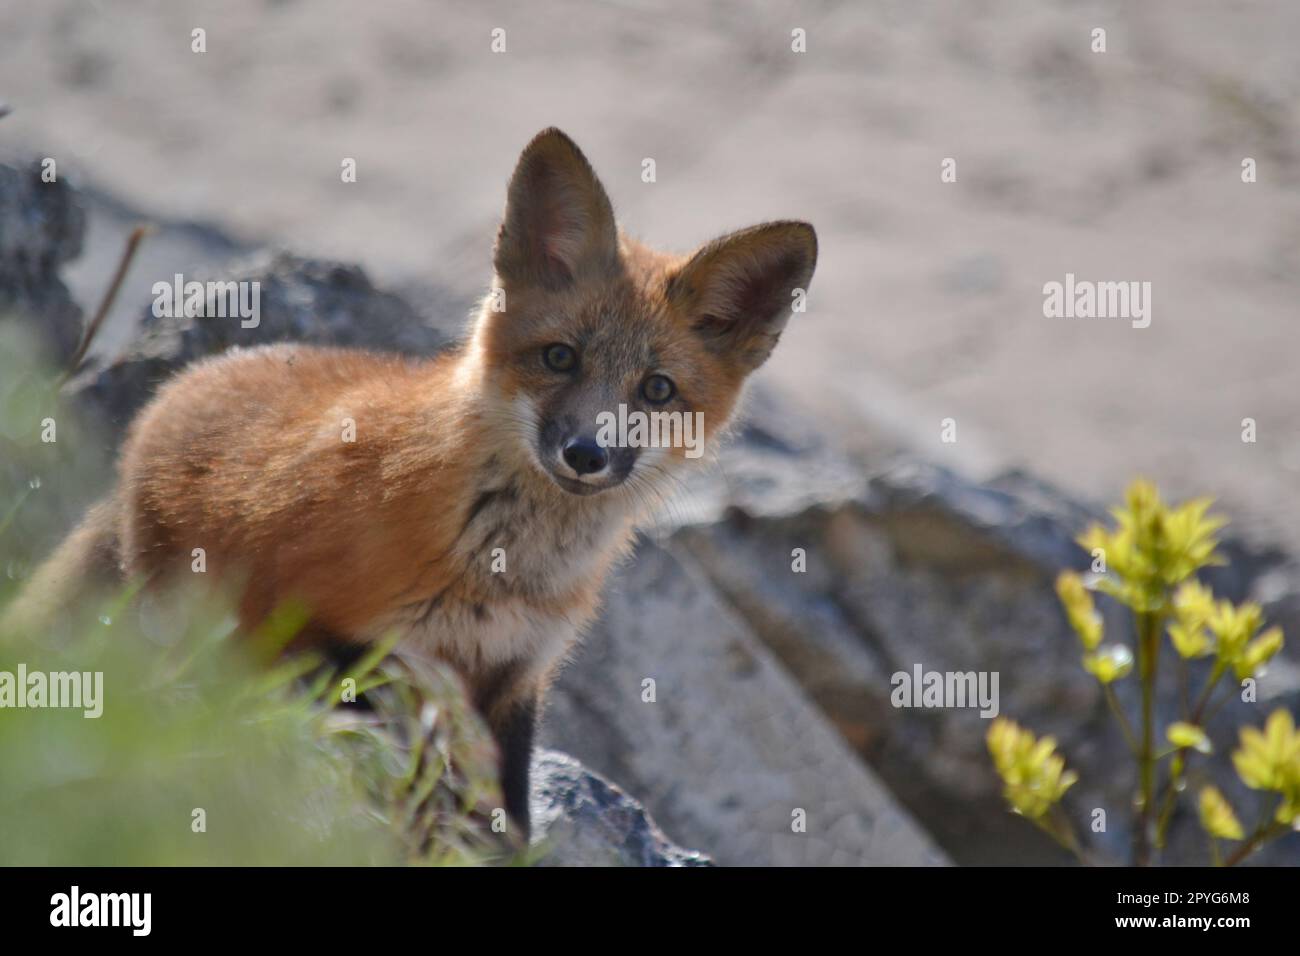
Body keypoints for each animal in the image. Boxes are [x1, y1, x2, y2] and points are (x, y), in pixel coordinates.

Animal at [7, 128, 817, 837]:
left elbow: (506, 817)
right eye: (559, 357)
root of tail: (172, 393)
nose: (585, 453)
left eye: (656, 390)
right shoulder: (329, 635)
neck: (506, 569)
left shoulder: (516, 676)